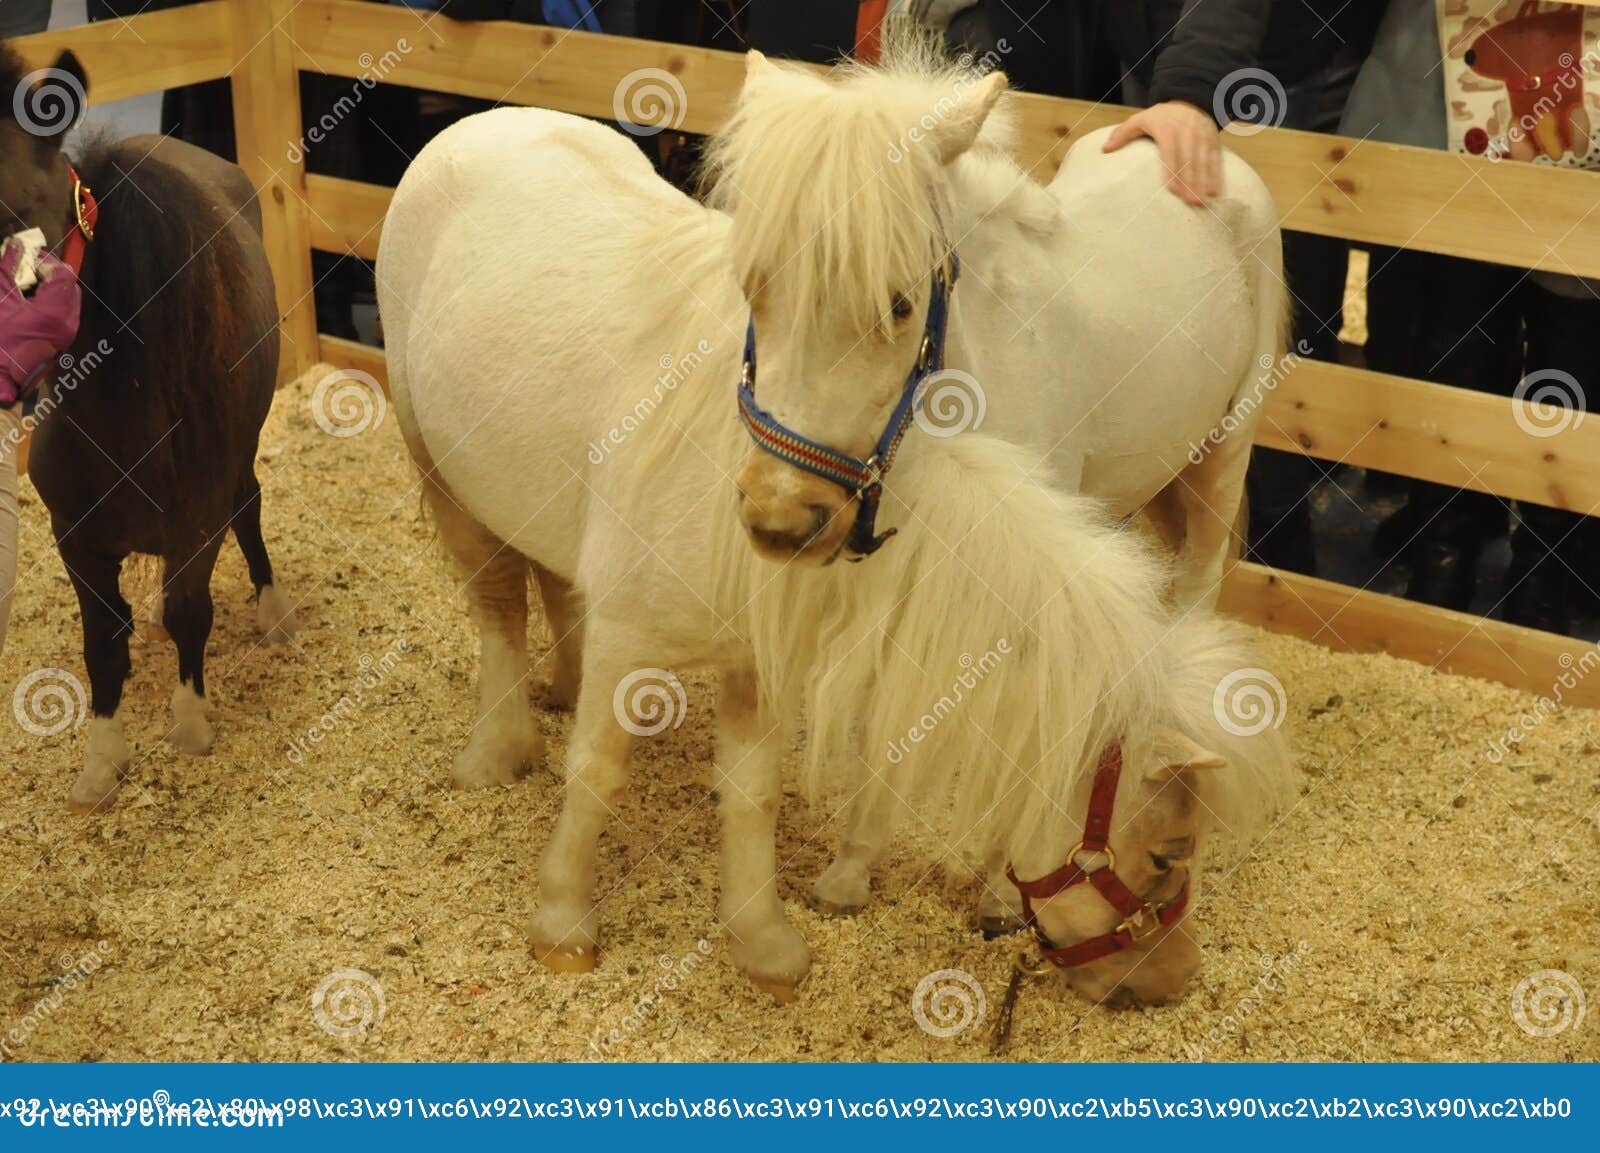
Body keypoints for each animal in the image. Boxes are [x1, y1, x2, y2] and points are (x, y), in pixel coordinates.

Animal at [0, 46, 295, 811]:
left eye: (21, 212)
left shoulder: (199, 519)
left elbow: (194, 610)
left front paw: (190, 724)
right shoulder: (74, 538)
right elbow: (102, 645)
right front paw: (102, 762)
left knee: (250, 509)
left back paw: (274, 613)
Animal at [376, 109, 1293, 1003]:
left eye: (900, 303)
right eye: (1167, 853)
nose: (1174, 978)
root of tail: (480, 124)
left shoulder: (762, 656)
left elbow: (755, 791)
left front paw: (768, 942)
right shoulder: (630, 639)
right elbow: (598, 770)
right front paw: (564, 925)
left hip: (1222, 454)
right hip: (436, 463)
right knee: (498, 599)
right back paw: (497, 750)